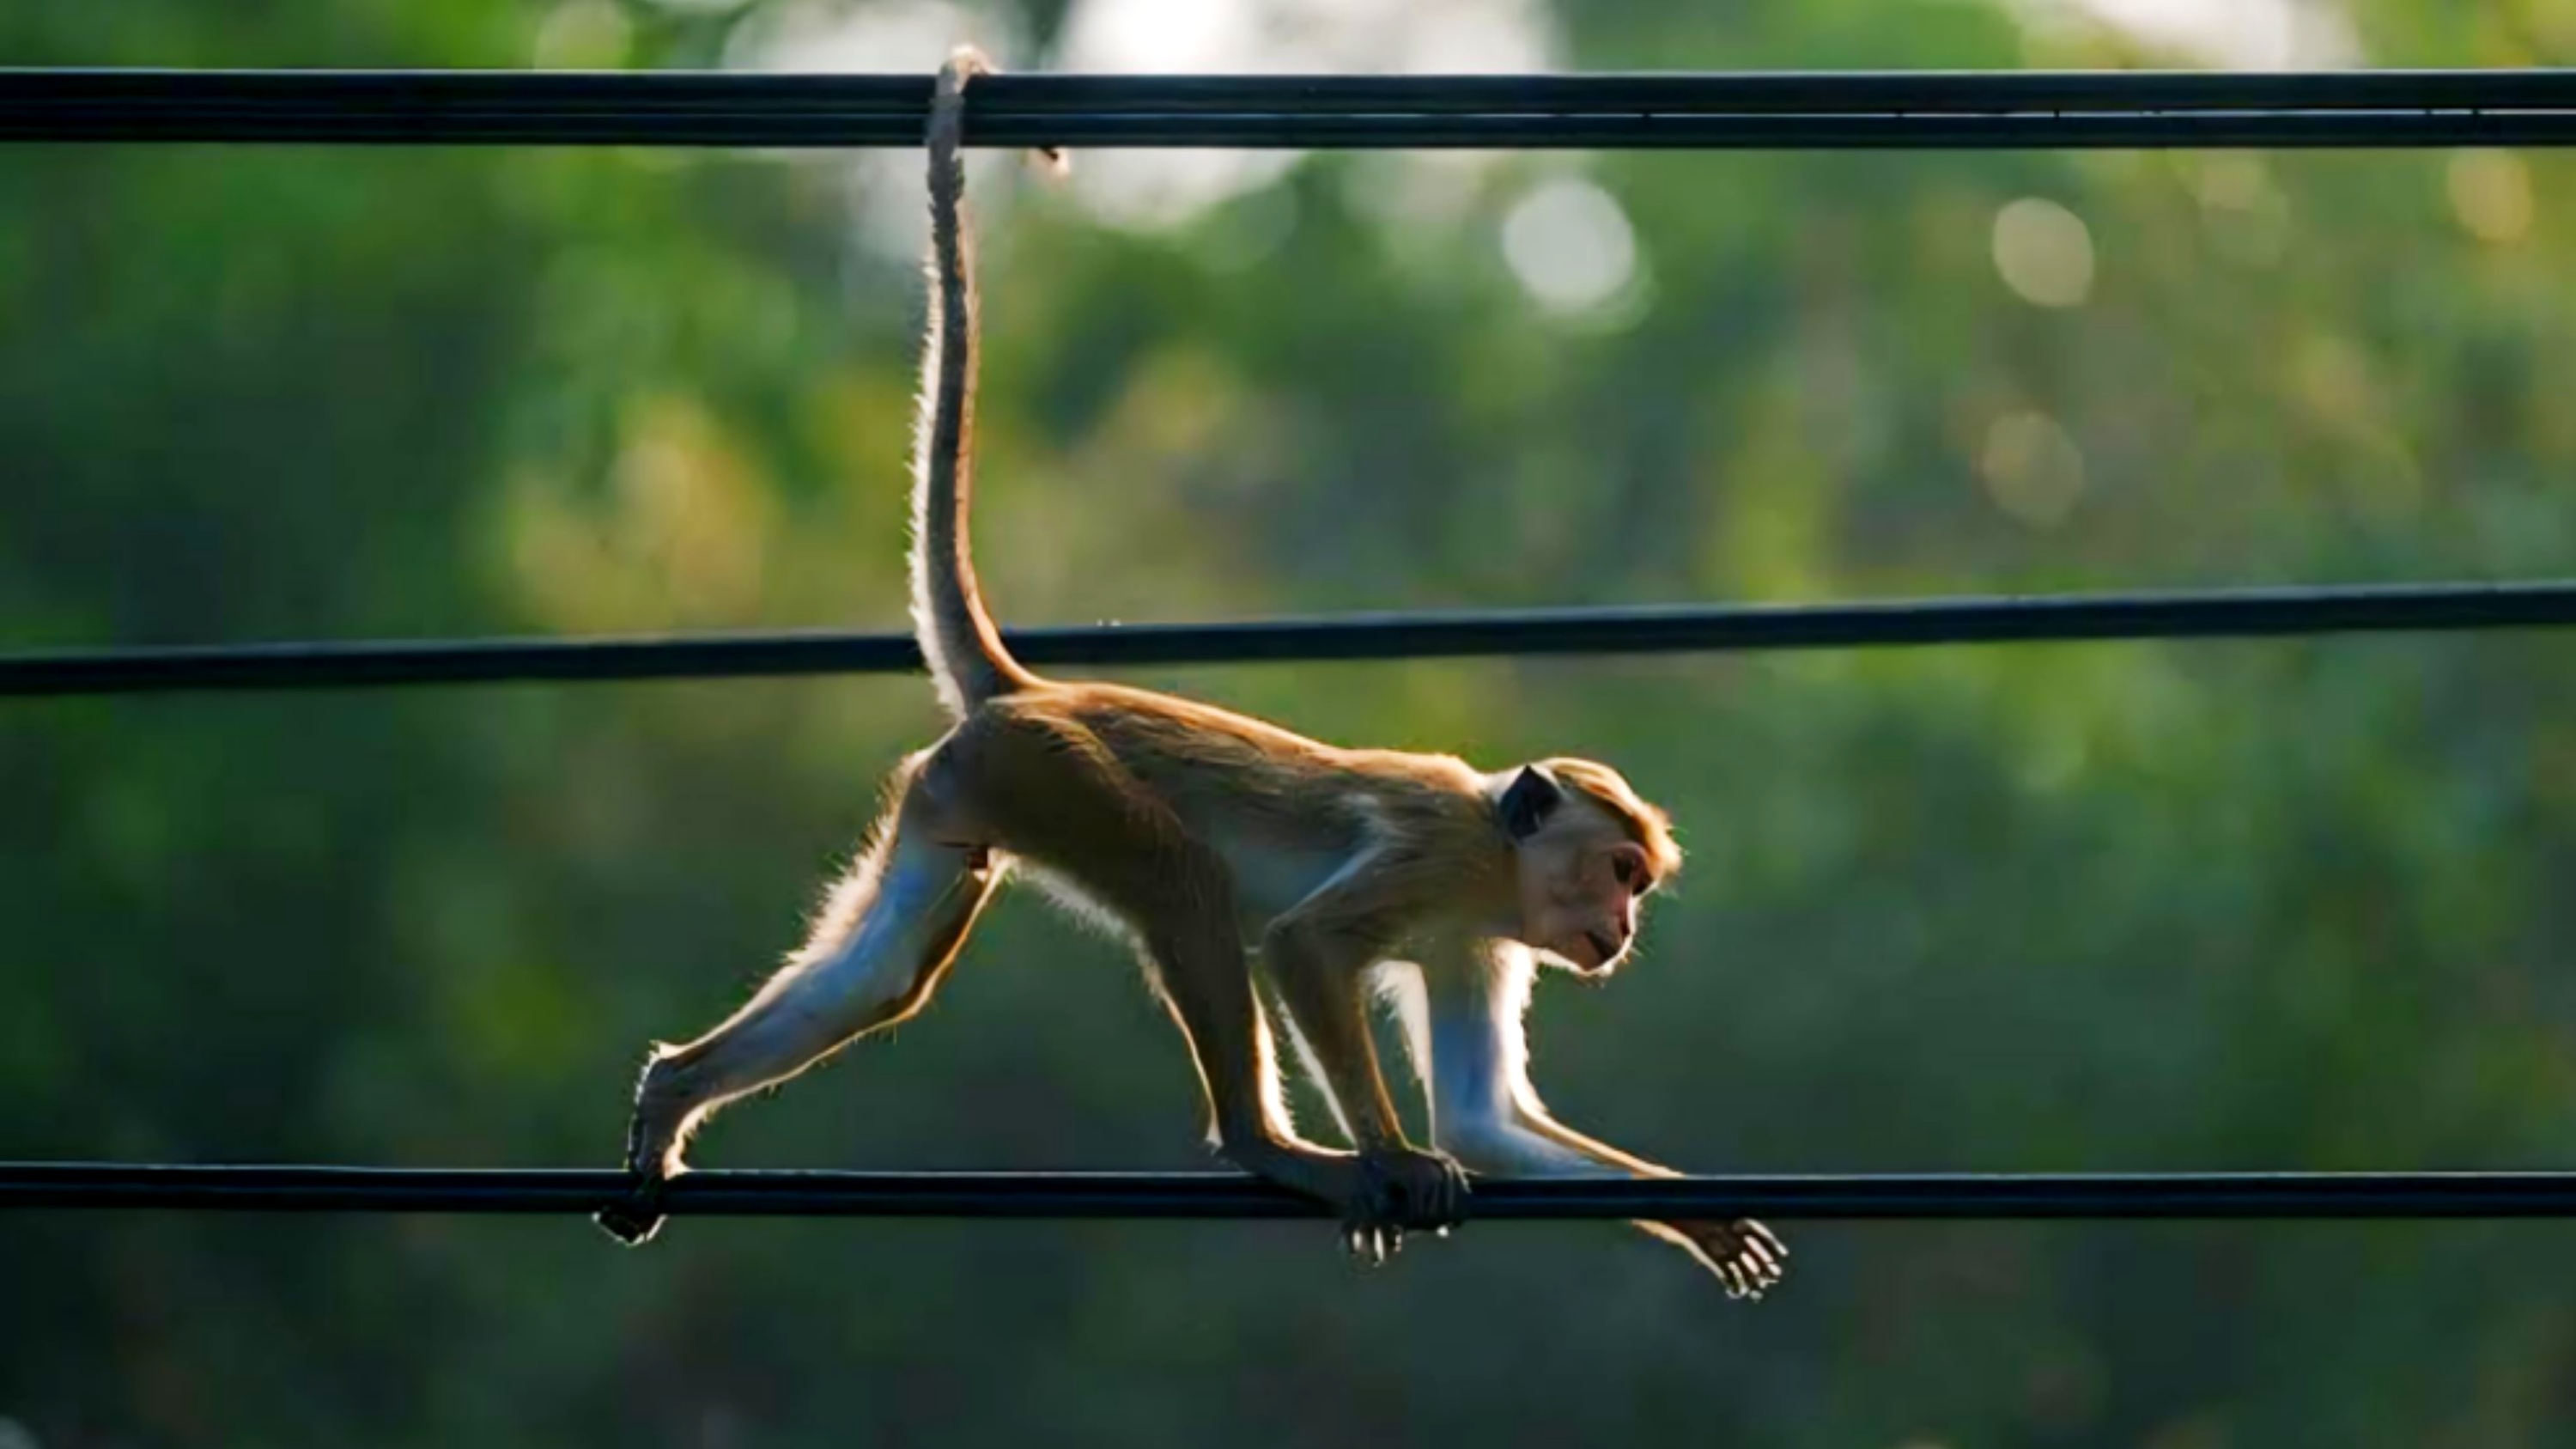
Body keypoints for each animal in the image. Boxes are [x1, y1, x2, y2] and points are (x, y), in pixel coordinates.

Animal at [594, 46, 1786, 1300]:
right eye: (1618, 868)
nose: (1623, 923)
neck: (1497, 859)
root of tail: (1033, 691)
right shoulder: (1438, 859)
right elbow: (1305, 949)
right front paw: (1395, 1159)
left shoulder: (1482, 935)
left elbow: (1484, 1120)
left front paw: (1698, 1211)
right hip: (1060, 772)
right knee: (1184, 887)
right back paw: (1271, 1147)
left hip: (970, 786)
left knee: (886, 976)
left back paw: (672, 1091)